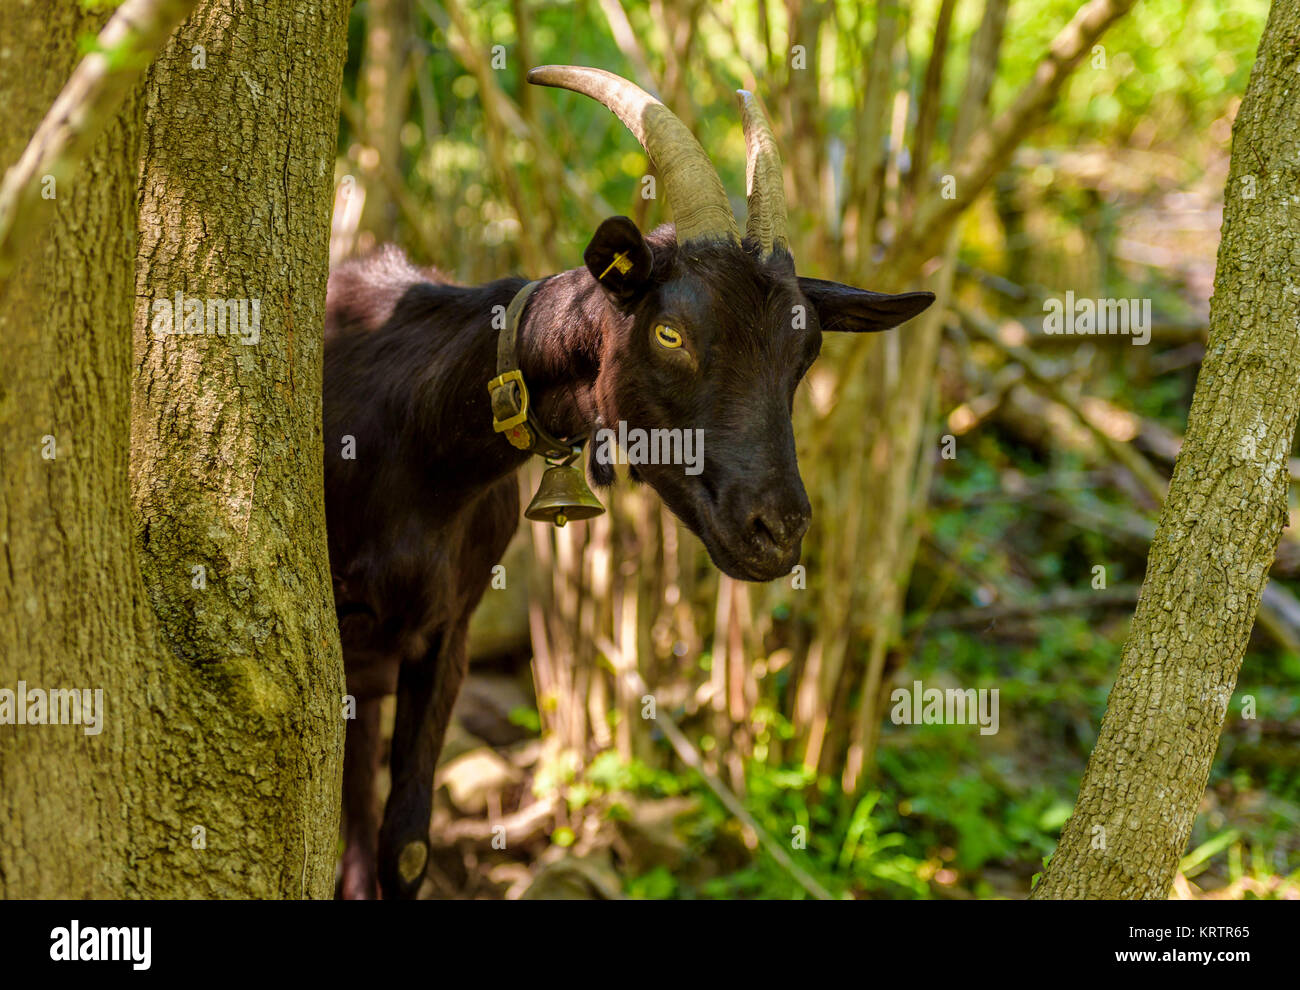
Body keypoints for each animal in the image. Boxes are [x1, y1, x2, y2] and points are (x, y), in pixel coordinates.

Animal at [323, 66, 934, 898]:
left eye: (804, 353)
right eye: (670, 333)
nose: (776, 529)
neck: (419, 449)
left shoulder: (448, 628)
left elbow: (405, 847)